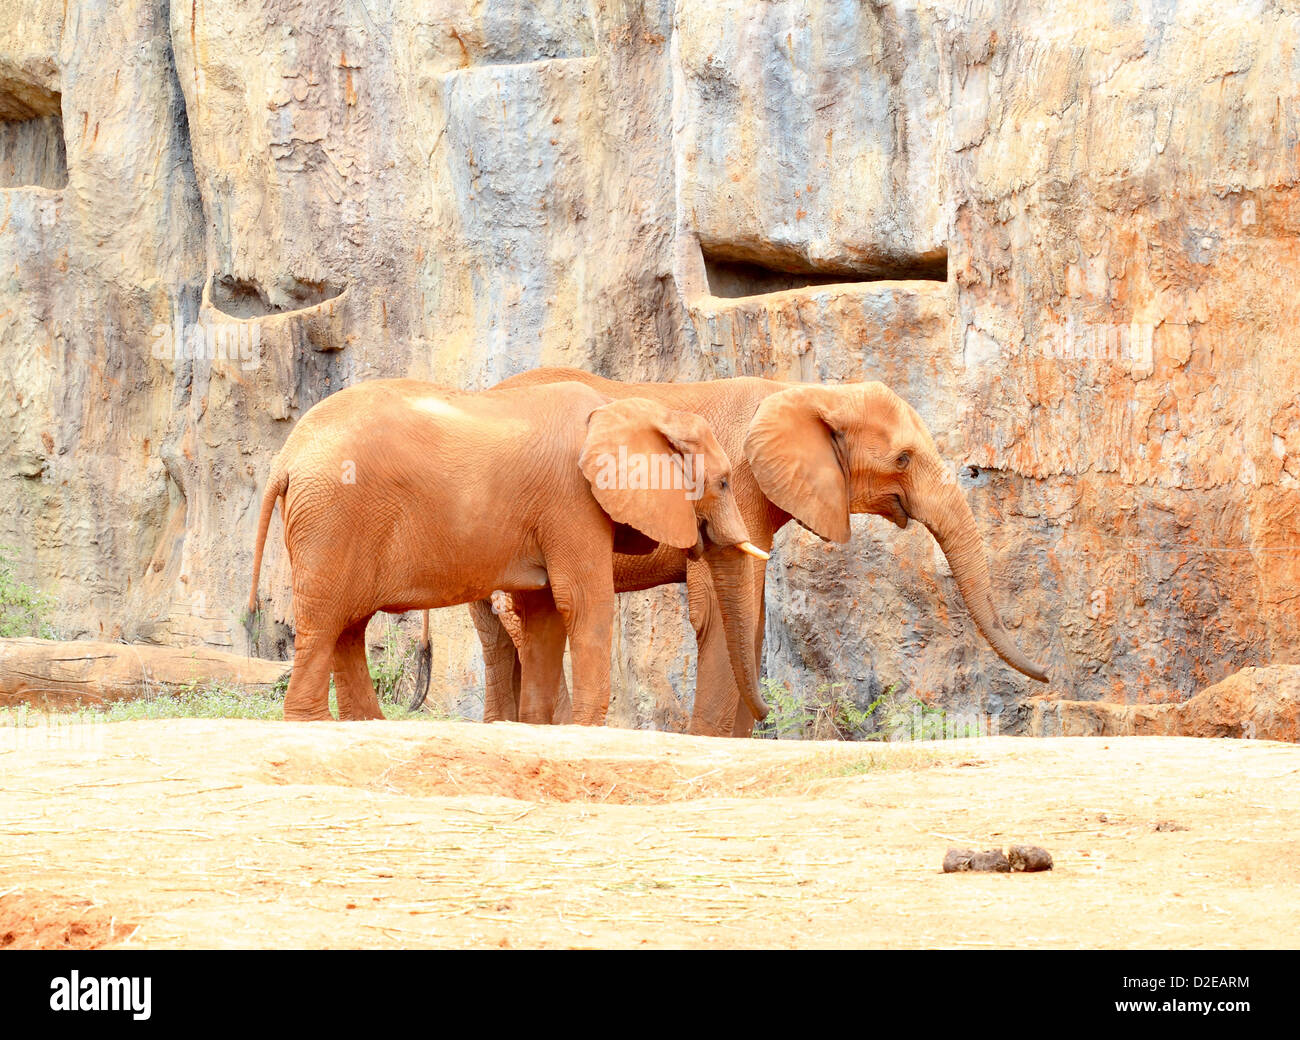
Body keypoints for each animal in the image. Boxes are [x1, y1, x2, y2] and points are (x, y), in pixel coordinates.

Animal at [246, 378, 769, 723]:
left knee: (347, 627)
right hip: (332, 518)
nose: (766, 716)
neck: (628, 407)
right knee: (325, 624)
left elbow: (544, 616)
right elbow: (585, 605)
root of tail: (286, 457)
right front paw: (584, 730)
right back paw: (312, 726)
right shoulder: (570, 503)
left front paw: (538, 728)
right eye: (724, 482)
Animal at [411, 369, 1049, 736]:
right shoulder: (735, 483)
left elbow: (751, 615)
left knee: (499, 636)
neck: (808, 390)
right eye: (903, 459)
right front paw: (717, 739)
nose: (1046, 676)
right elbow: (720, 612)